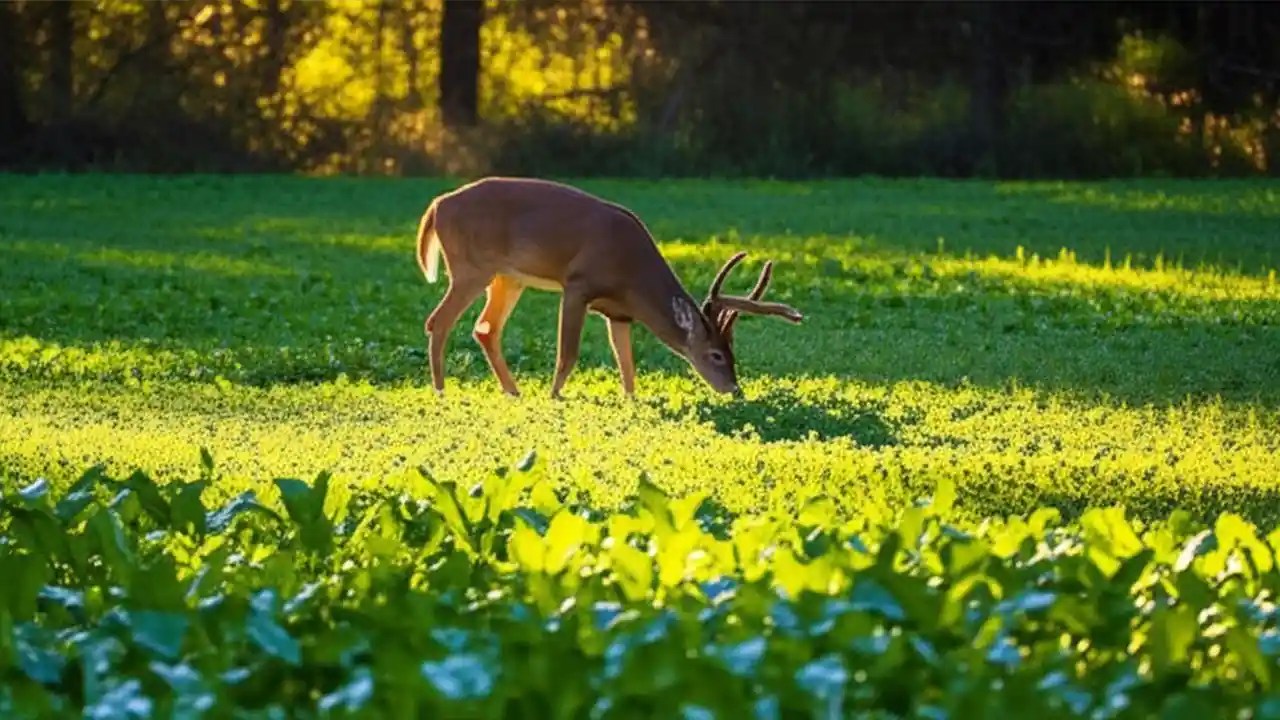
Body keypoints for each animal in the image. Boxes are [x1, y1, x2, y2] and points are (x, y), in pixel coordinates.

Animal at [414, 176, 803, 399]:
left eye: (732, 350)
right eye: (716, 355)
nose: (735, 390)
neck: (630, 275)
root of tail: (436, 205)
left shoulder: (619, 314)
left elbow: (626, 362)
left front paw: (631, 400)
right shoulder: (578, 284)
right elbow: (568, 352)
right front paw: (556, 397)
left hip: (508, 277)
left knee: (485, 329)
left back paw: (513, 391)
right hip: (471, 267)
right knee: (438, 321)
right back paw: (441, 390)